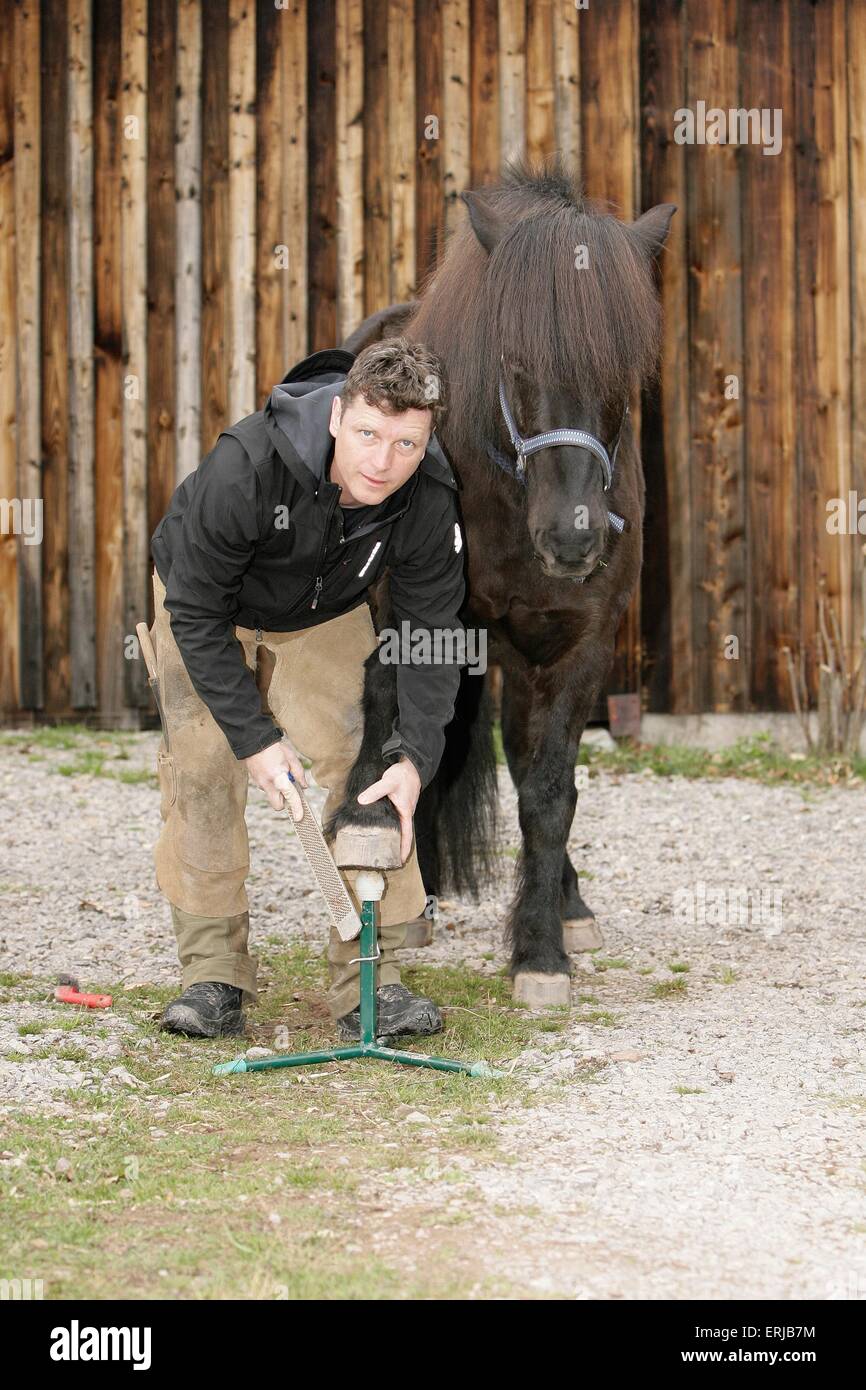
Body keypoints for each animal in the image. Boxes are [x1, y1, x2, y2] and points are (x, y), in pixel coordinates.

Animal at [326, 156, 675, 1006]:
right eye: (517, 366)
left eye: (624, 372)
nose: (576, 536)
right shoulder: (417, 617)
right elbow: (393, 715)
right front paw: (377, 835)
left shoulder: (576, 641)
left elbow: (548, 790)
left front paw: (541, 949)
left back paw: (567, 905)